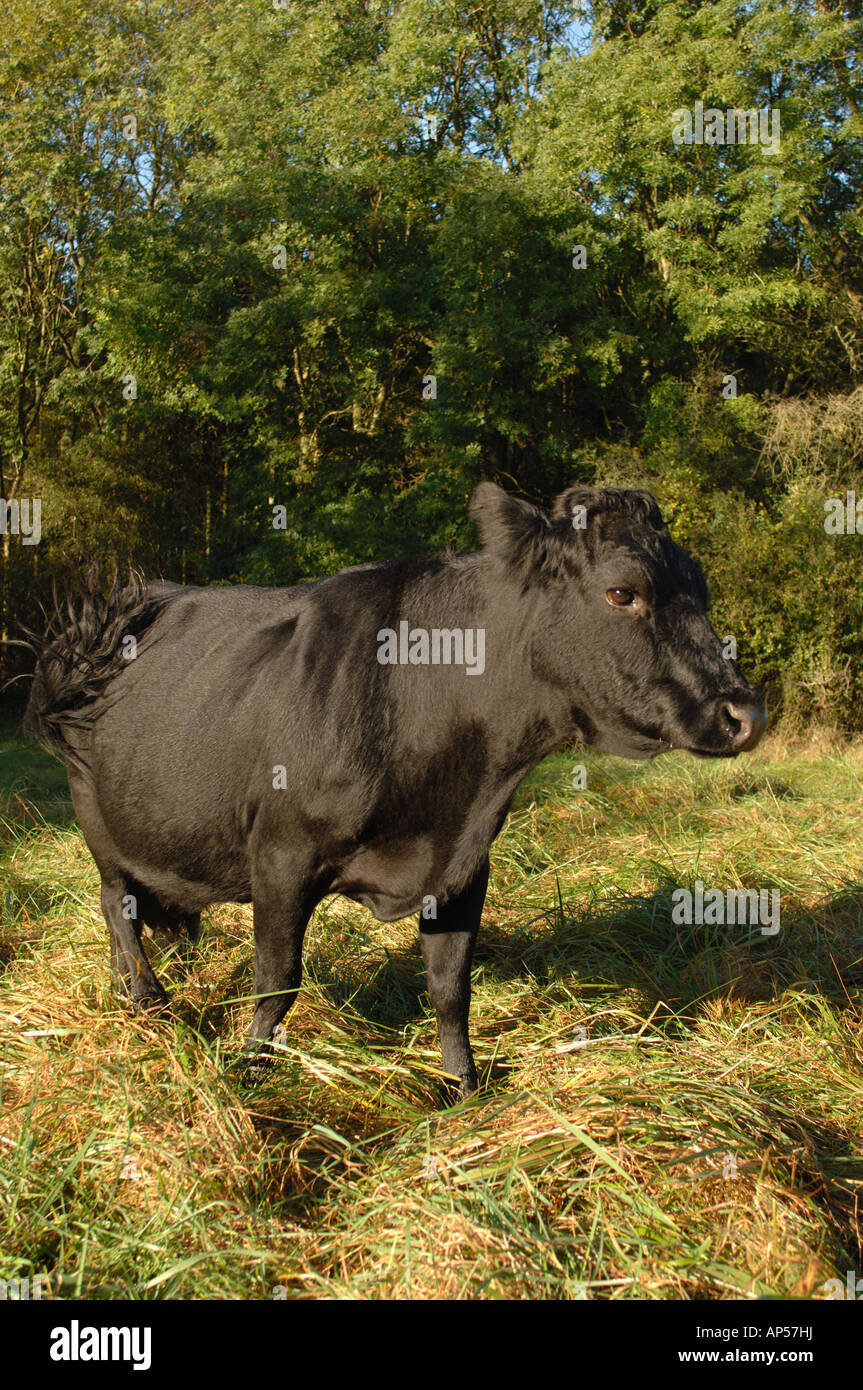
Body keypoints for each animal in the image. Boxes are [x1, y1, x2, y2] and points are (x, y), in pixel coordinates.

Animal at [22, 484, 767, 1097]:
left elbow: (449, 988)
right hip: (95, 815)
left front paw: (464, 1089)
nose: (744, 714)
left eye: (700, 589)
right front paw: (247, 1072)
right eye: (621, 592)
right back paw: (149, 1000)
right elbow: (277, 980)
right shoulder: (280, 855)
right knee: (116, 904)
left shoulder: (465, 864)